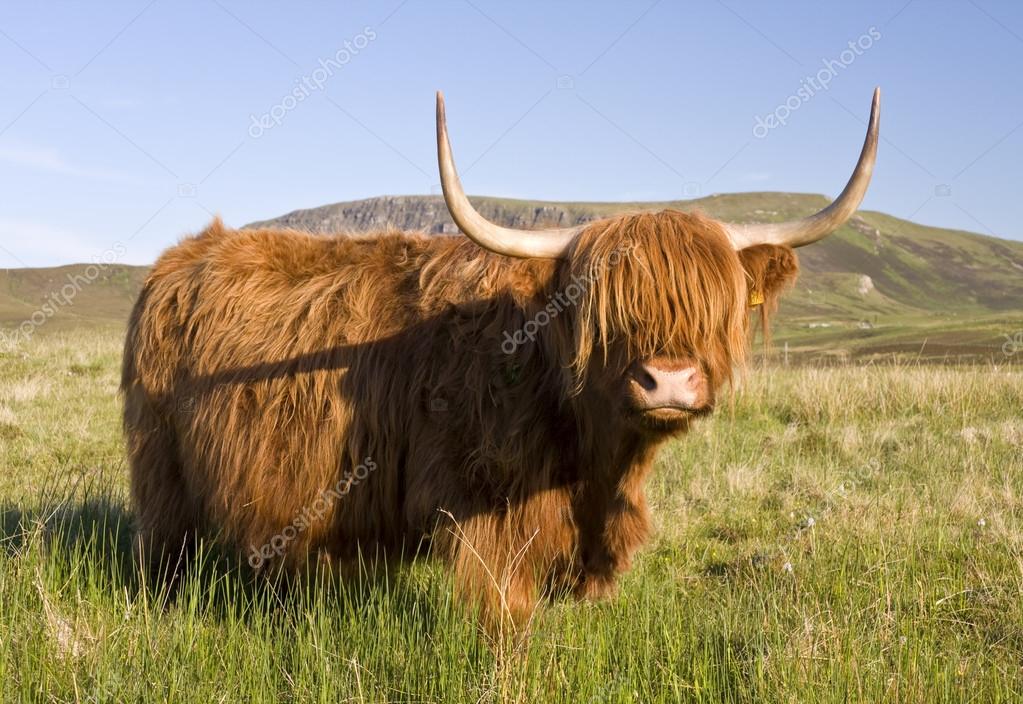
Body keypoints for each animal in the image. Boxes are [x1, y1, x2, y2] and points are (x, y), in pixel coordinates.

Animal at [122, 89, 880, 628]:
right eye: (600, 309)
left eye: (711, 306)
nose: (667, 380)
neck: (595, 462)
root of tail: (180, 256)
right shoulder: (484, 509)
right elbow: (504, 615)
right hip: (159, 468)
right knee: (167, 549)